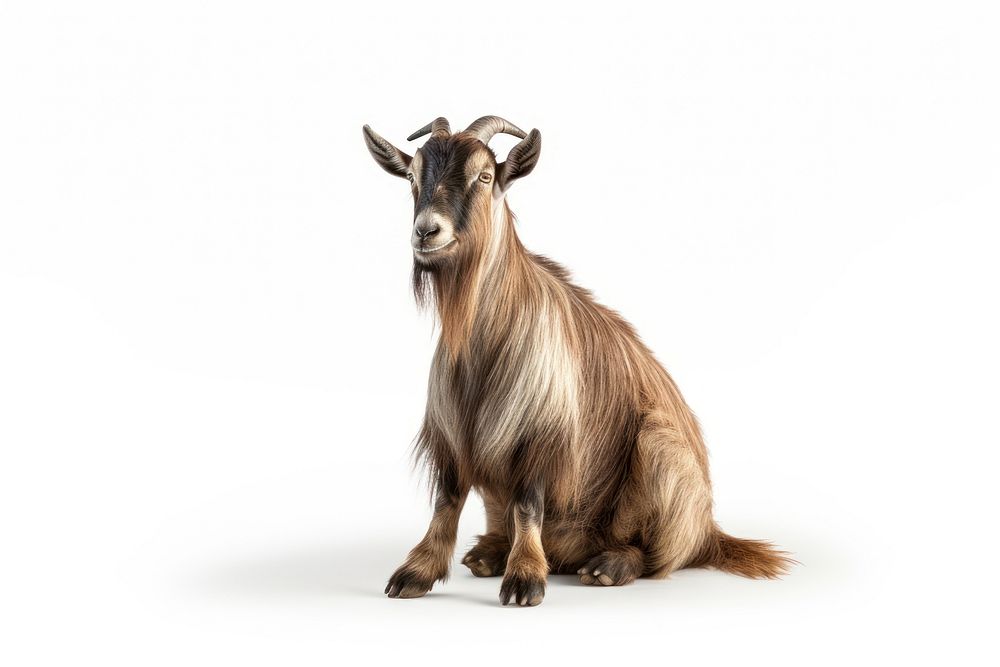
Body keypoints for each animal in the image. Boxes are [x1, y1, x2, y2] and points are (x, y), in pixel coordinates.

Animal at [362, 115, 791, 607]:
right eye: (412, 177)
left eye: (485, 176)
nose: (426, 232)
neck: (484, 341)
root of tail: (707, 532)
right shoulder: (451, 435)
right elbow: (447, 500)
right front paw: (415, 572)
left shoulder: (543, 434)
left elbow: (528, 504)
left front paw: (524, 580)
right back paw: (489, 552)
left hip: (659, 449)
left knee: (654, 557)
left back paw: (606, 566)